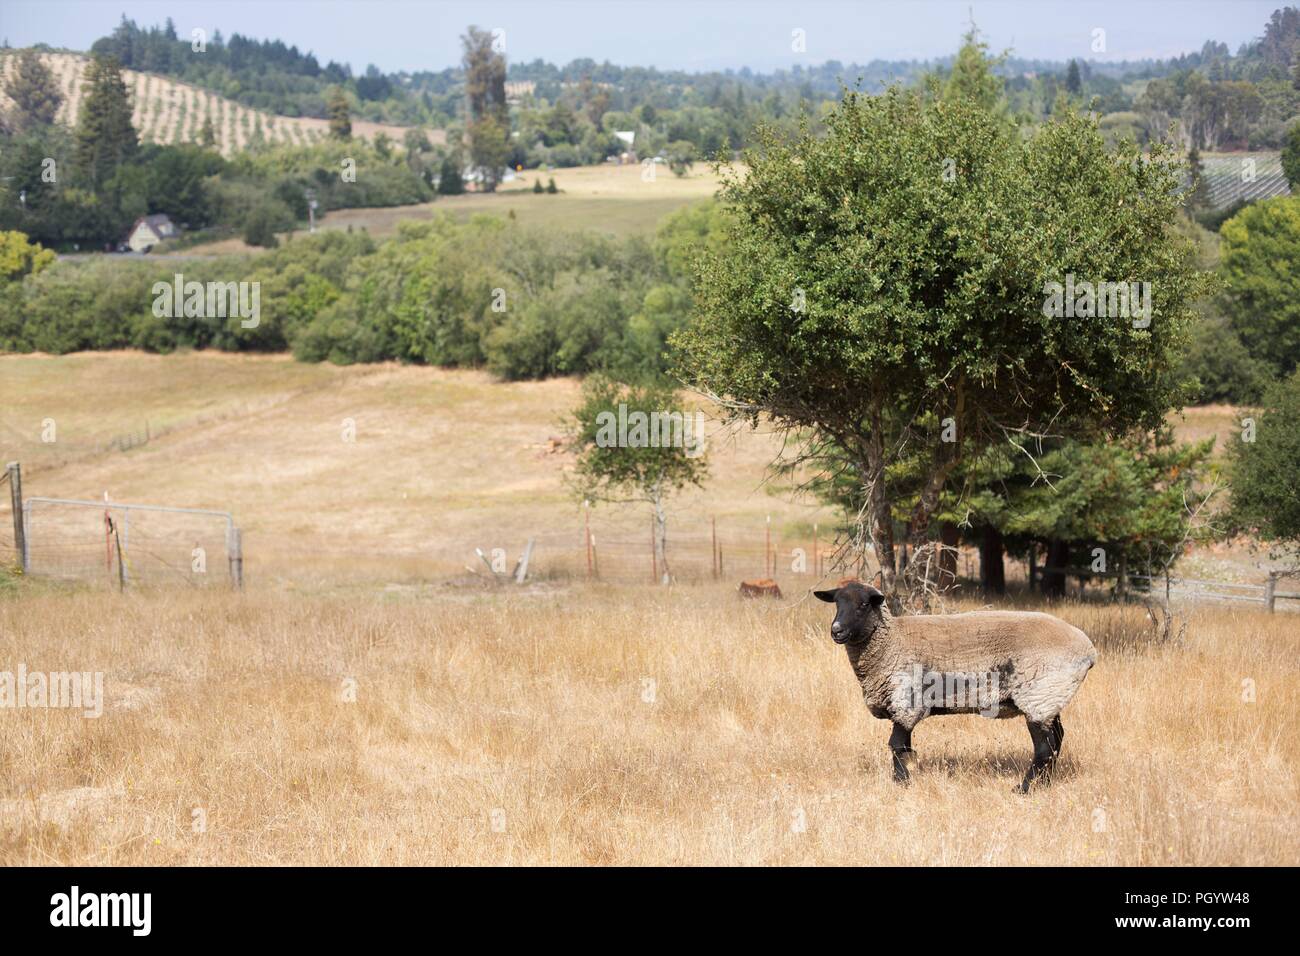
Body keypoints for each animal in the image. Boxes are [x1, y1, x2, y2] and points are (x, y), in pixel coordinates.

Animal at [813, 581, 1096, 792]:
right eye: (837, 604)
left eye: (863, 605)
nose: (836, 631)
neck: (892, 642)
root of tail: (1088, 650)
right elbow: (905, 748)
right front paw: (904, 780)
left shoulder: (906, 704)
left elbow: (896, 746)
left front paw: (901, 784)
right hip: (1051, 697)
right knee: (1057, 739)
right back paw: (1044, 785)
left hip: (1039, 695)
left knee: (1044, 748)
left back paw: (1024, 789)